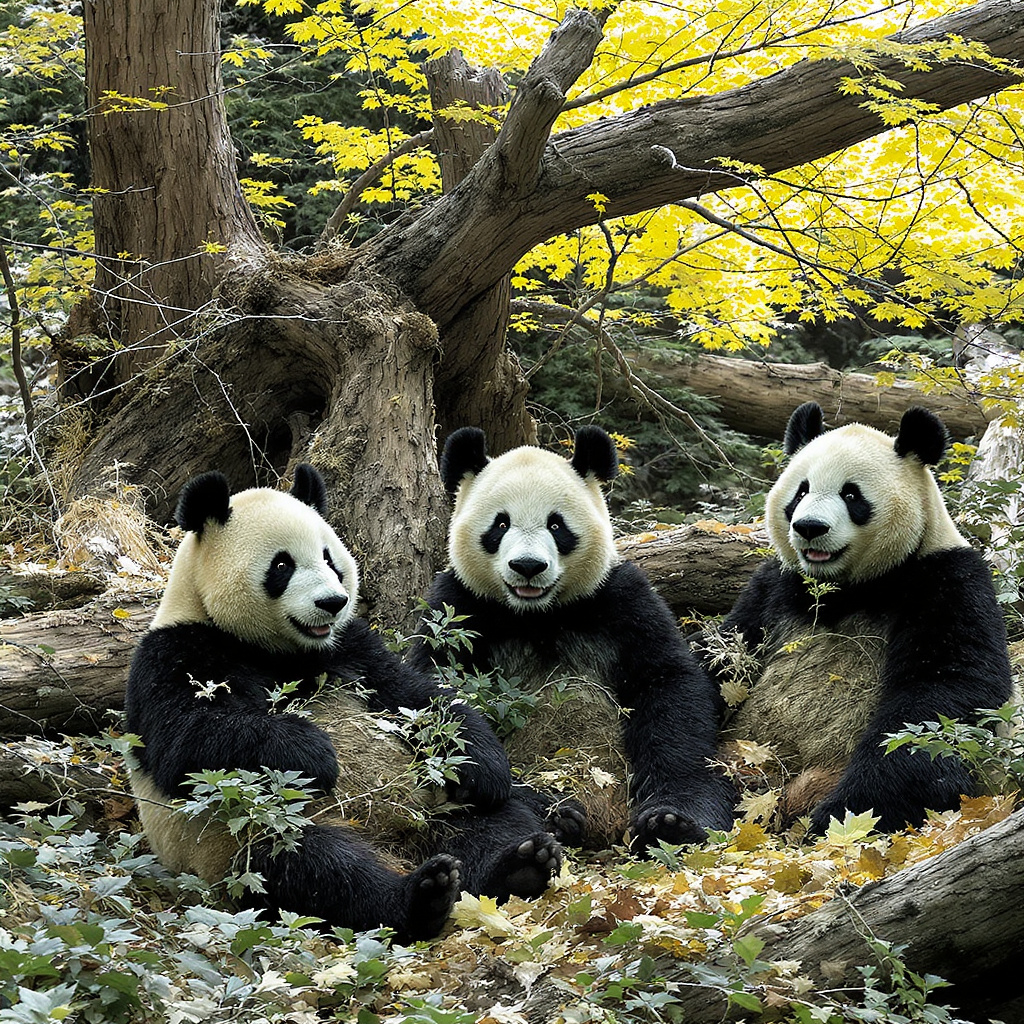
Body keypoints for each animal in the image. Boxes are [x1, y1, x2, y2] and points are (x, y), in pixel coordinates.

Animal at [124, 465, 562, 943]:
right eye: (282, 565)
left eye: (329, 558)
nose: (332, 602)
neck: (274, 648)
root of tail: (395, 840)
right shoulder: (177, 652)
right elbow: (187, 741)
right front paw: (315, 753)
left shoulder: (350, 645)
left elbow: (415, 695)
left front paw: (485, 764)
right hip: (246, 839)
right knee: (316, 871)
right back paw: (418, 898)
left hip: (436, 803)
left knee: (490, 821)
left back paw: (519, 864)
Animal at [407, 426, 737, 853]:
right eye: (500, 525)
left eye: (556, 525)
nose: (527, 566)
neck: (538, 614)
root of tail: (605, 824)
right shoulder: (459, 606)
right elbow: (433, 689)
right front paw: (545, 803)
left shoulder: (620, 597)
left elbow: (666, 681)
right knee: (474, 817)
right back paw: (539, 838)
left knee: (708, 787)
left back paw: (671, 823)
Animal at [707, 401, 1013, 834]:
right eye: (801, 490)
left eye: (851, 494)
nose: (809, 527)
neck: (846, 588)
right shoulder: (773, 586)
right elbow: (721, 660)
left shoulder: (946, 578)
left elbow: (940, 697)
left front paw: (845, 815)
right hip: (743, 751)